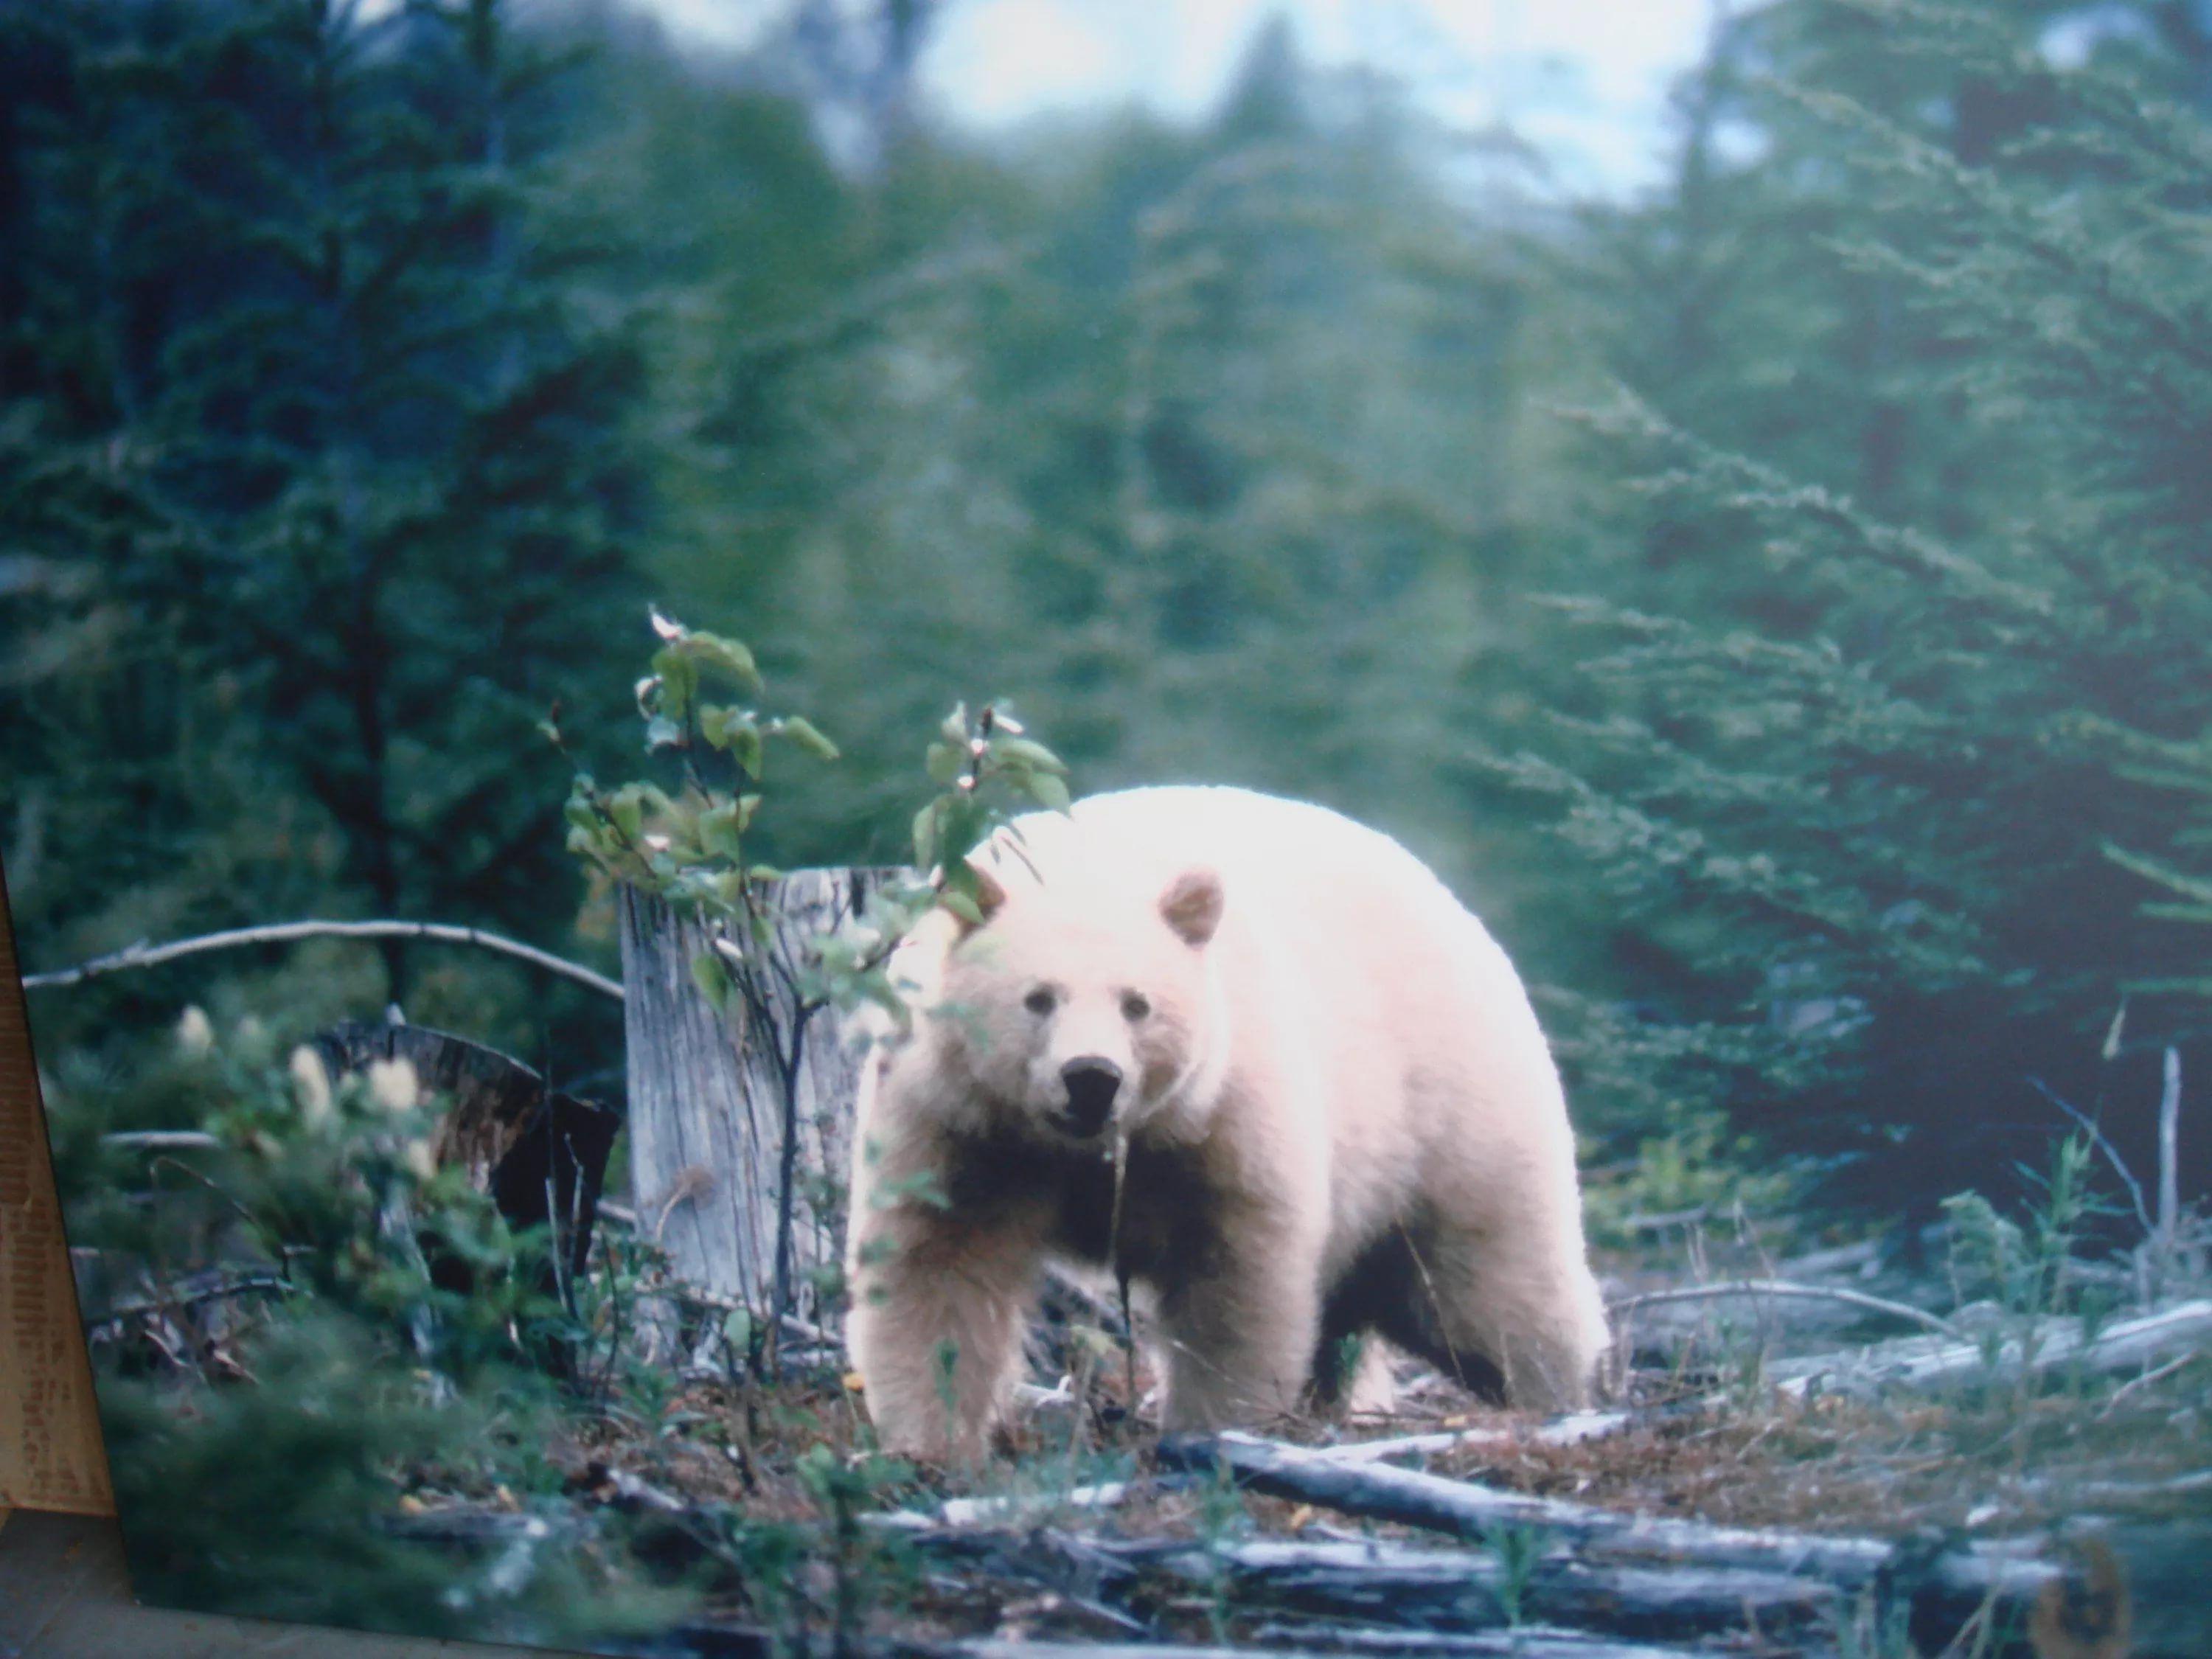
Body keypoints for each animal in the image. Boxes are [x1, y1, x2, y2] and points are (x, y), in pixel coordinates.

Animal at [843, 785, 1609, 1460]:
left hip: (1449, 1116)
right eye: (1038, 998)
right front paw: (928, 1447)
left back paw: (1561, 1395)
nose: (1092, 1078)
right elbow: (938, 1267)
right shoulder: (959, 1121)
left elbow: (1234, 1284)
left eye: (1137, 1004)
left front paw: (1215, 1429)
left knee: (1492, 1284)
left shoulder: (1218, 1117)